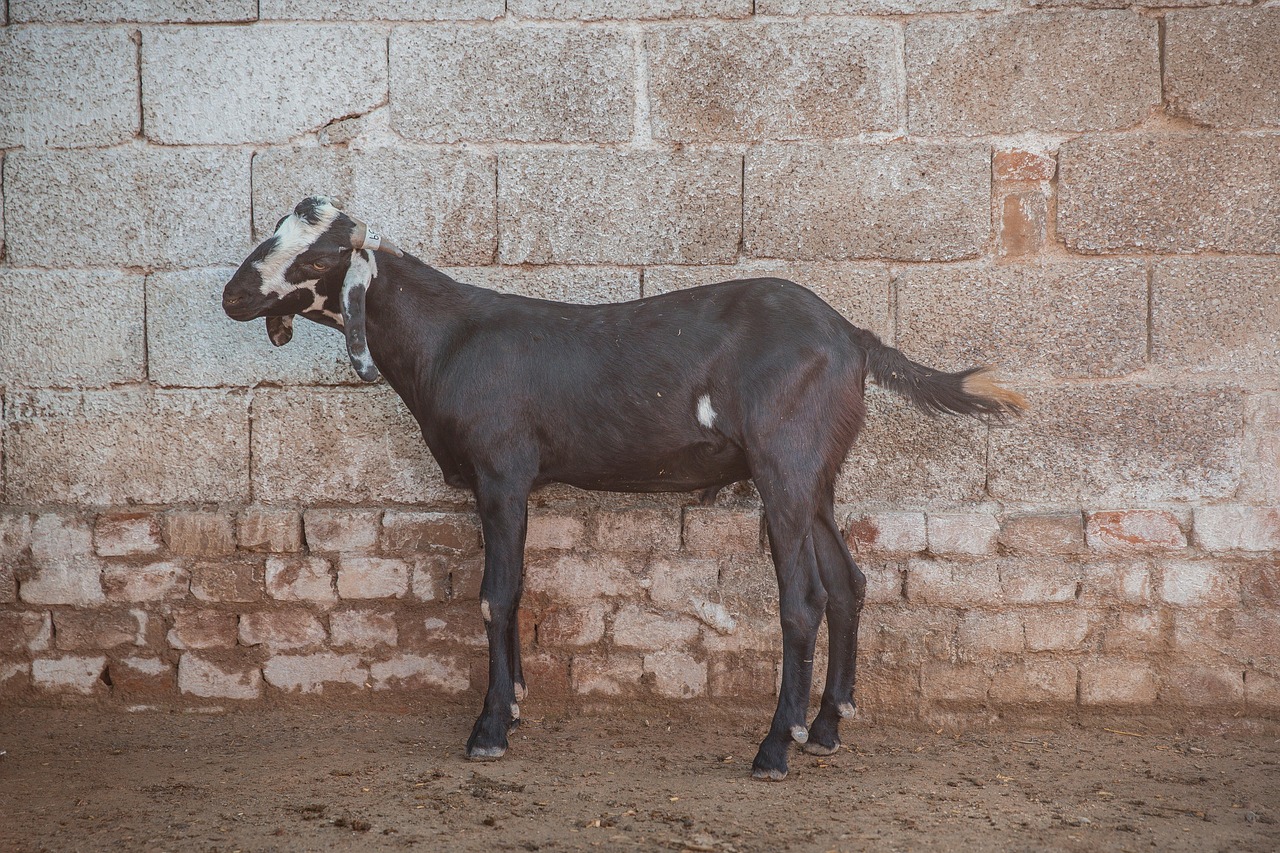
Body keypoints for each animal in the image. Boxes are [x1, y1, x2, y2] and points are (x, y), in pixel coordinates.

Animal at [222, 196, 1026, 781]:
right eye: (270, 235)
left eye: (319, 254)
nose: (231, 296)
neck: (448, 339)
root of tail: (854, 336)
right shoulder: (511, 485)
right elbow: (514, 590)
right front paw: (516, 705)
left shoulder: (501, 472)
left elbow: (495, 594)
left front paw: (489, 729)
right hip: (819, 472)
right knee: (848, 583)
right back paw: (825, 728)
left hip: (785, 464)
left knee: (804, 599)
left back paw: (775, 748)